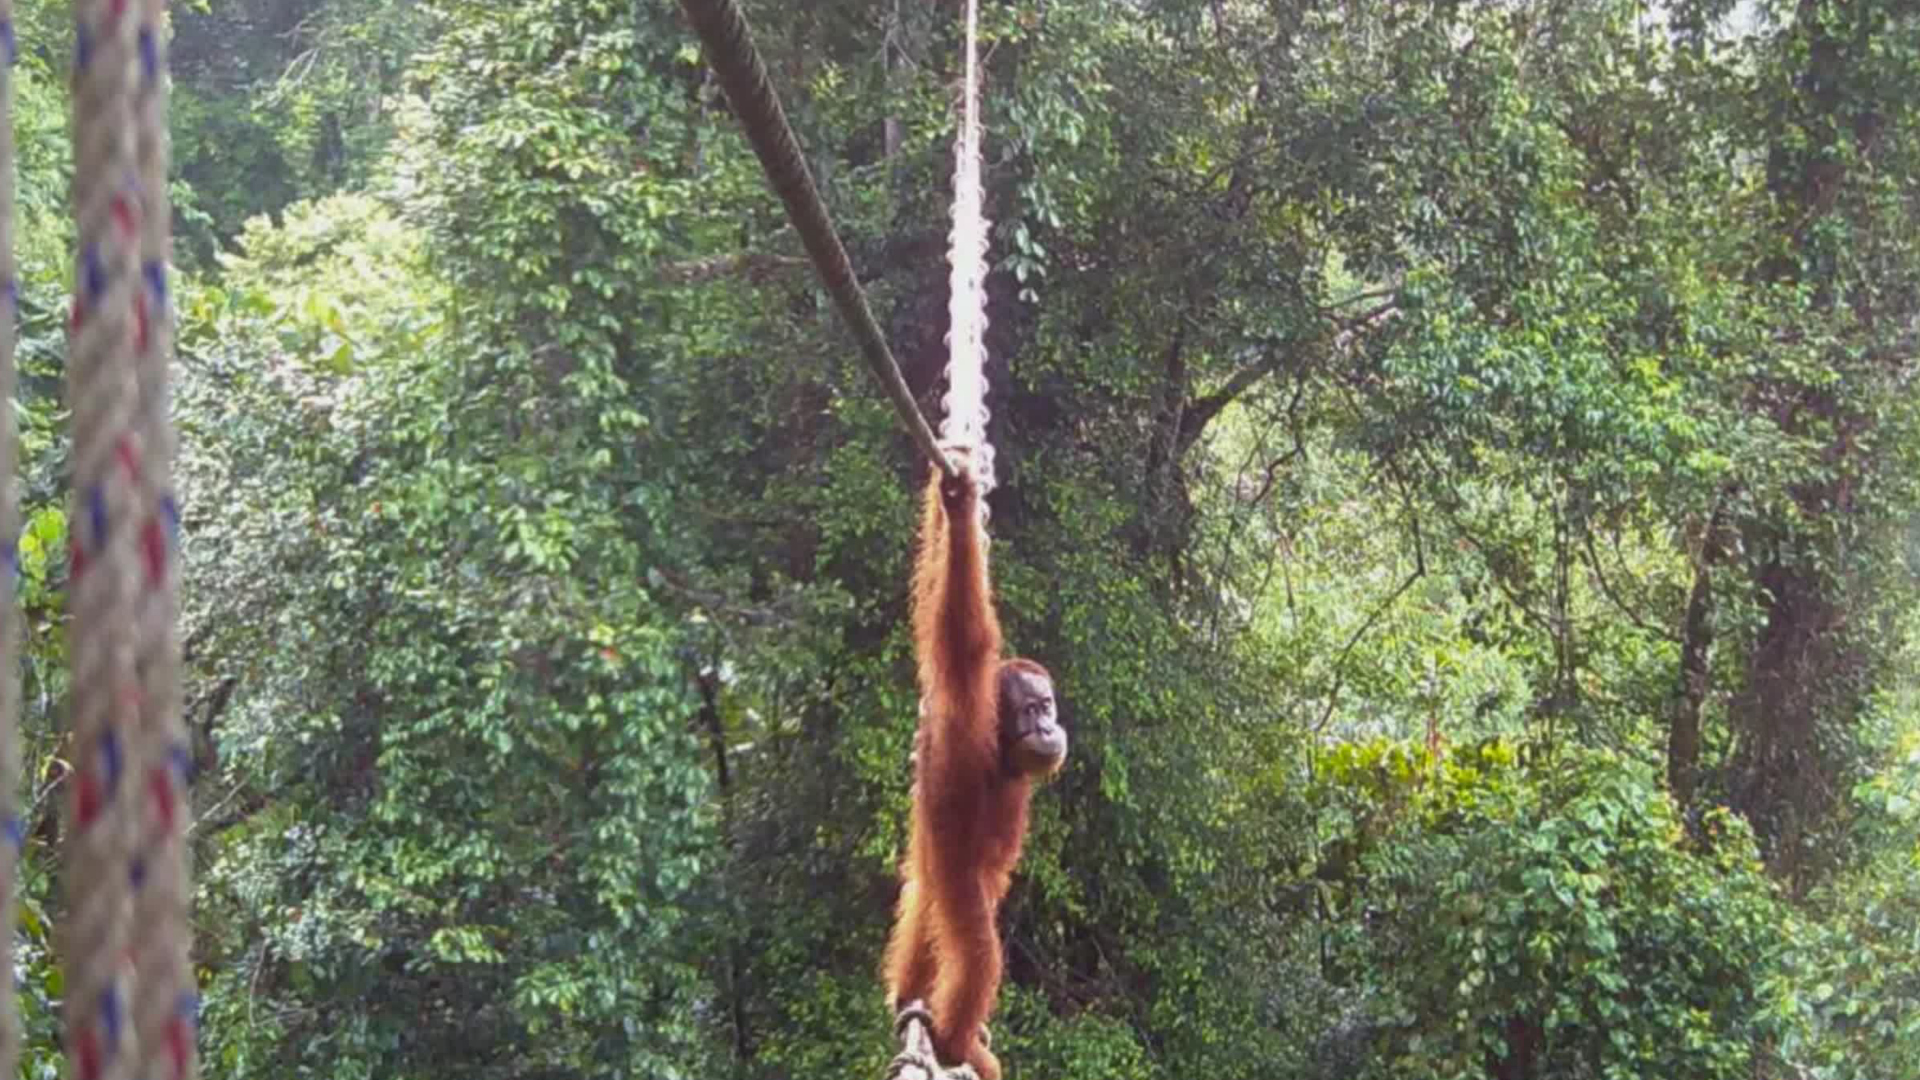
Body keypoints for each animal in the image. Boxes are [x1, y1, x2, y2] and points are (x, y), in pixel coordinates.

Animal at [882, 445, 1067, 1080]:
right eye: (1032, 709)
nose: (1048, 726)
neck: (1001, 751)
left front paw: (954, 492)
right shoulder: (966, 702)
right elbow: (962, 628)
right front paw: (960, 510)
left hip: (928, 867)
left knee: (920, 908)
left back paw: (910, 1002)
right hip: (954, 877)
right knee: (977, 949)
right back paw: (955, 1041)